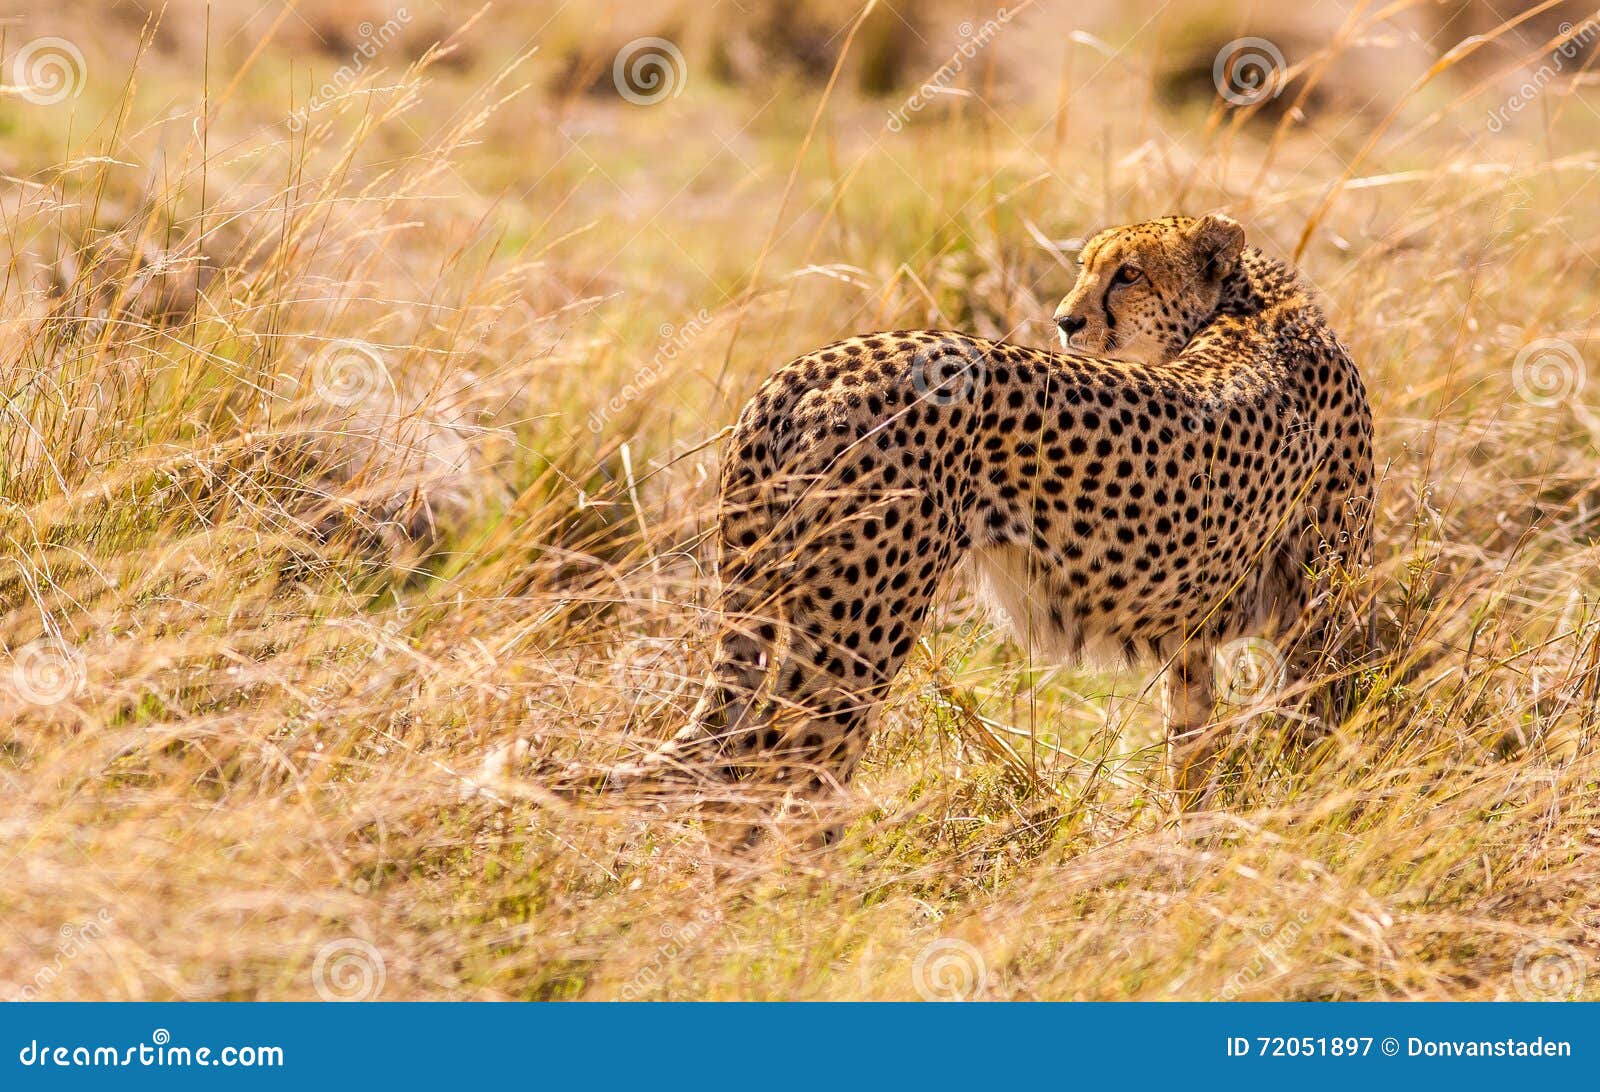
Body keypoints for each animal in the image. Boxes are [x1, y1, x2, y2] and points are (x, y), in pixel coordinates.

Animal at [586, 213, 1373, 834]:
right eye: (1089, 269)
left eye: (1128, 275)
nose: (1065, 322)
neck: (1250, 308)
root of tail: (815, 363)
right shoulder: (1322, 606)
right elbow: (1324, 726)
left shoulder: (1199, 629)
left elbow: (1194, 747)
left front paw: (1190, 837)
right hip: (862, 628)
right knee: (783, 761)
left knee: (739, 755)